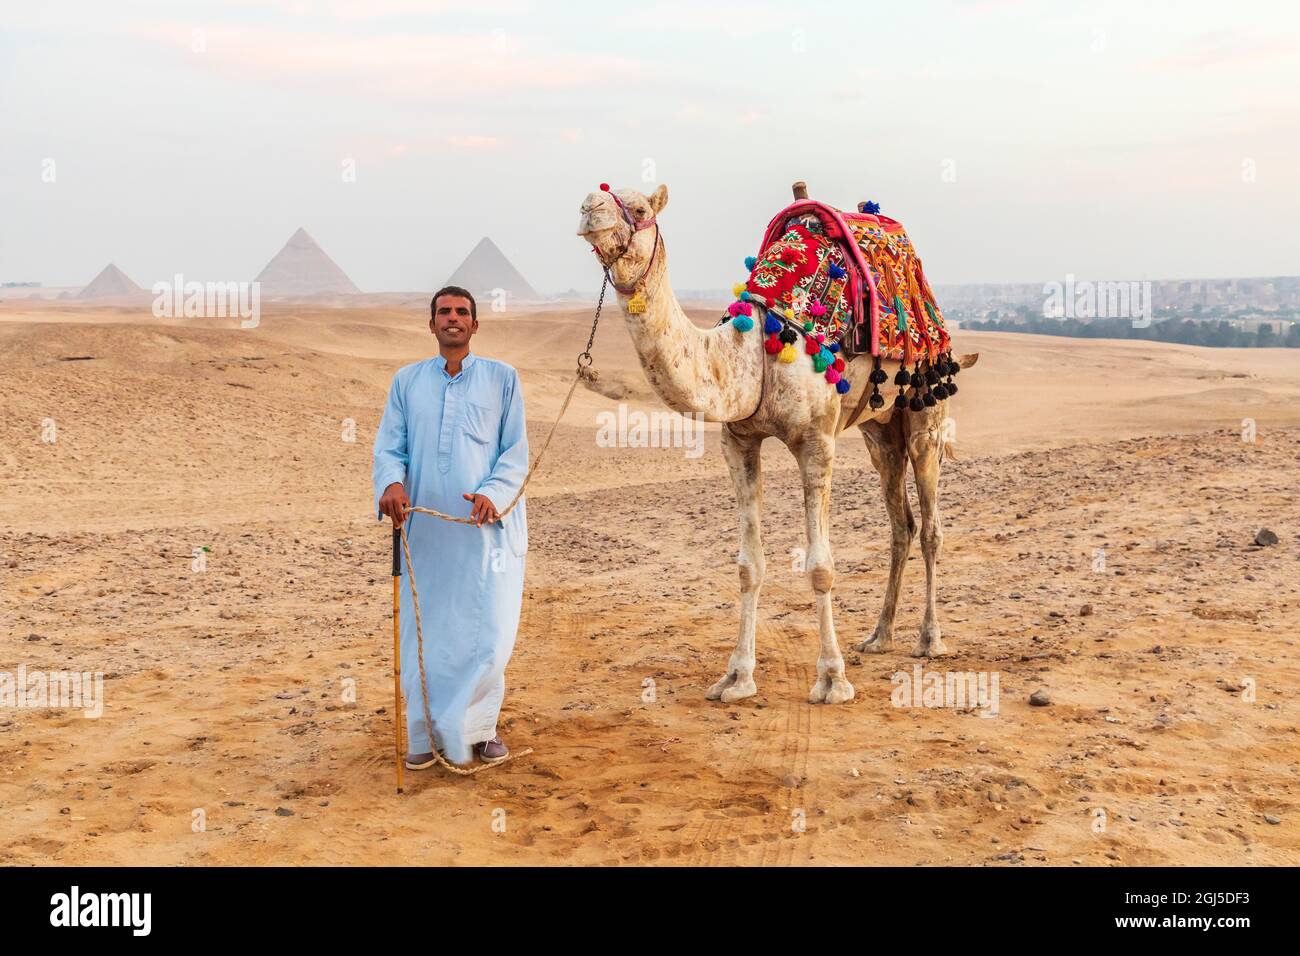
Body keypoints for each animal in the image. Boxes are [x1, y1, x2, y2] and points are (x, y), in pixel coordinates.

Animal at [576, 183, 977, 705]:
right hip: (879, 429)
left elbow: (820, 566)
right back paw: (879, 635)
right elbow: (749, 565)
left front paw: (832, 680)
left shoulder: (815, 441)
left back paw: (928, 640)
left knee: (930, 527)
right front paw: (736, 677)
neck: (751, 351)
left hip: (925, 409)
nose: (590, 207)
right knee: (900, 524)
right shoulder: (739, 441)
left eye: (640, 207)